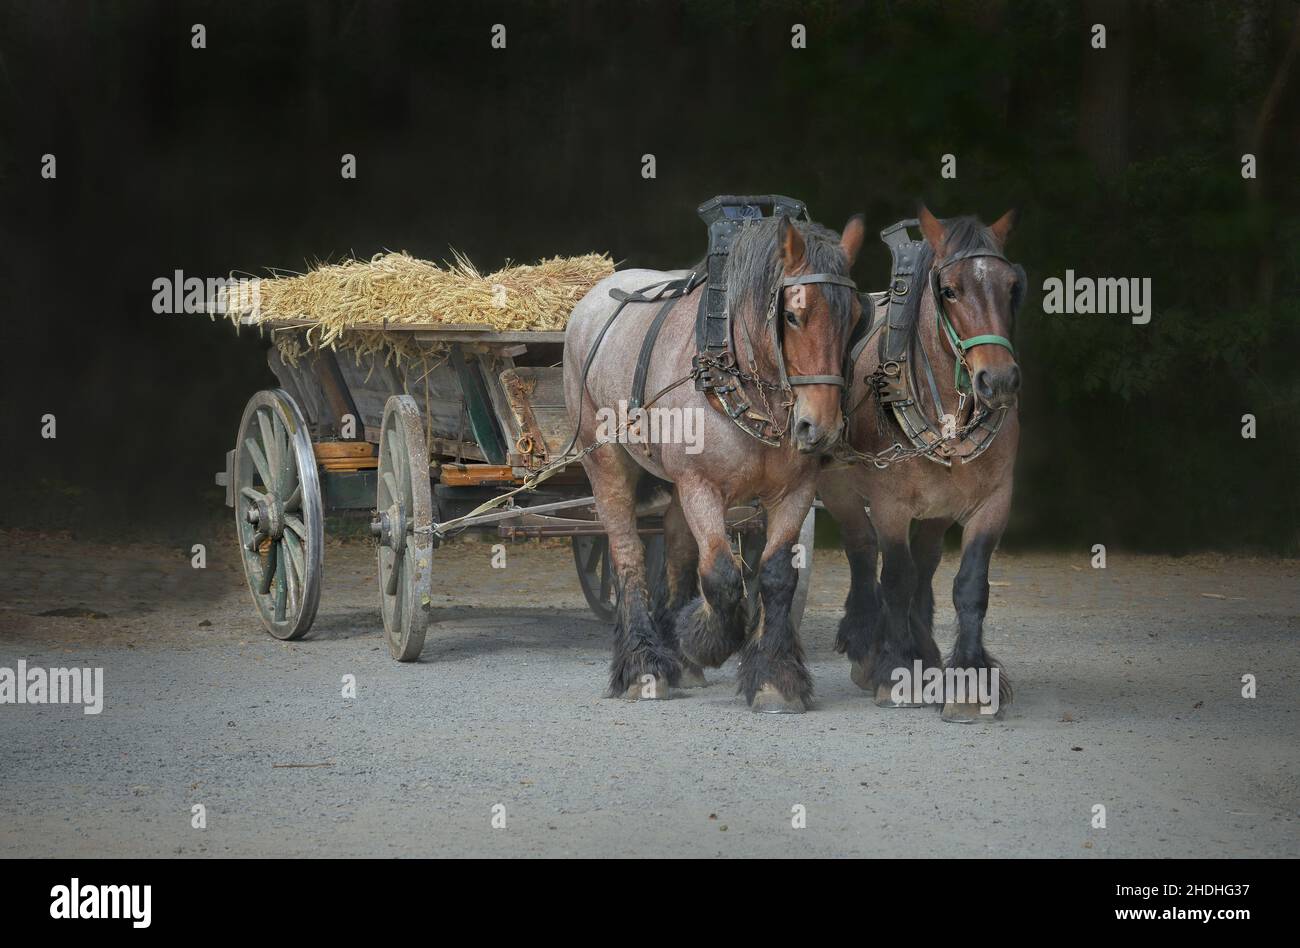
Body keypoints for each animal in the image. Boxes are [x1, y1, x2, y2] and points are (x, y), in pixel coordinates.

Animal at [563, 213, 865, 712]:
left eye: (856, 318)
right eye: (792, 315)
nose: (819, 428)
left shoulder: (796, 491)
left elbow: (777, 575)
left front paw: (774, 677)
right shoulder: (700, 485)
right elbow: (722, 576)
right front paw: (703, 638)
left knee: (676, 544)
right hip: (606, 461)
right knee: (626, 551)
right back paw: (644, 664)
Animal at [818, 206, 1023, 721]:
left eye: (1012, 286)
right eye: (949, 290)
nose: (999, 381)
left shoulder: (994, 502)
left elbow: (969, 585)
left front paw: (968, 681)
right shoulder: (889, 505)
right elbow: (896, 576)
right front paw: (896, 670)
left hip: (937, 508)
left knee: (927, 561)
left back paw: (925, 649)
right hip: (840, 492)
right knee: (862, 550)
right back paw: (867, 645)